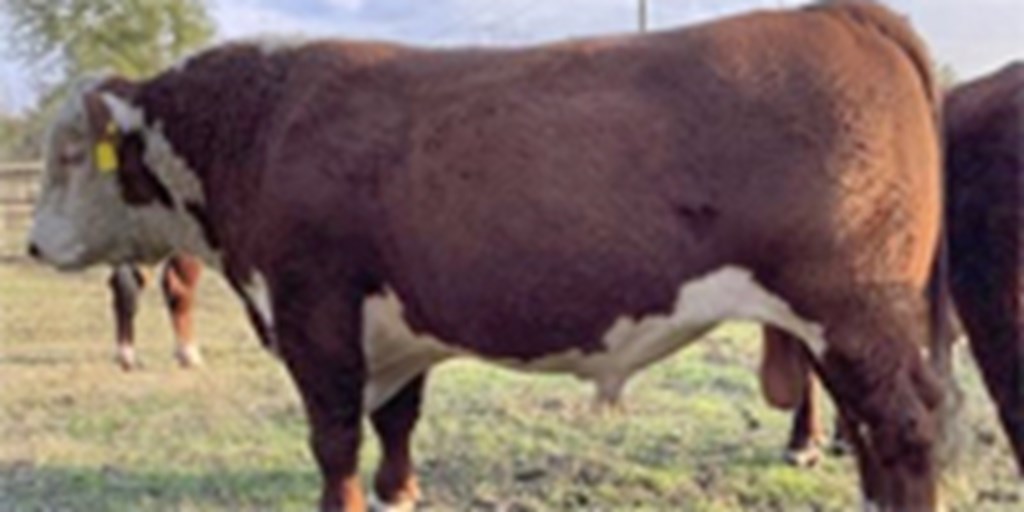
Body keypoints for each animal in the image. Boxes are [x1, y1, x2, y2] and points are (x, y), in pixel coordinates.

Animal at [26, 1, 948, 510]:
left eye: (69, 152)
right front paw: (400, 493)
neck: (259, 125)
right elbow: (395, 422)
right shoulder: (391, 323)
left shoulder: (313, 310)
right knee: (872, 433)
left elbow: (333, 440)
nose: (33, 243)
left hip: (855, 311)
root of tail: (836, 14)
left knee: (905, 429)